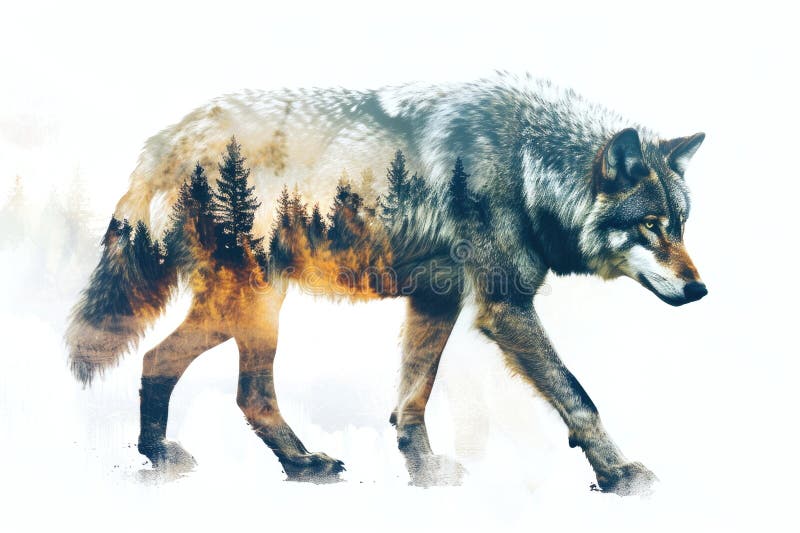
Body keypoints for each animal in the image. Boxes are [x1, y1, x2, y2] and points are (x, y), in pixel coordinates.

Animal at [66, 73, 706, 495]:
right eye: (650, 226)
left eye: (680, 224)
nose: (700, 292)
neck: (528, 166)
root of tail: (166, 140)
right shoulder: (505, 307)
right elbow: (579, 398)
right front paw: (619, 475)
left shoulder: (437, 298)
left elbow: (411, 401)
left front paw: (423, 474)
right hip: (251, 307)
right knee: (214, 381)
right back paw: (284, 465)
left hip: (248, 309)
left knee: (173, 366)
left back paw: (198, 461)